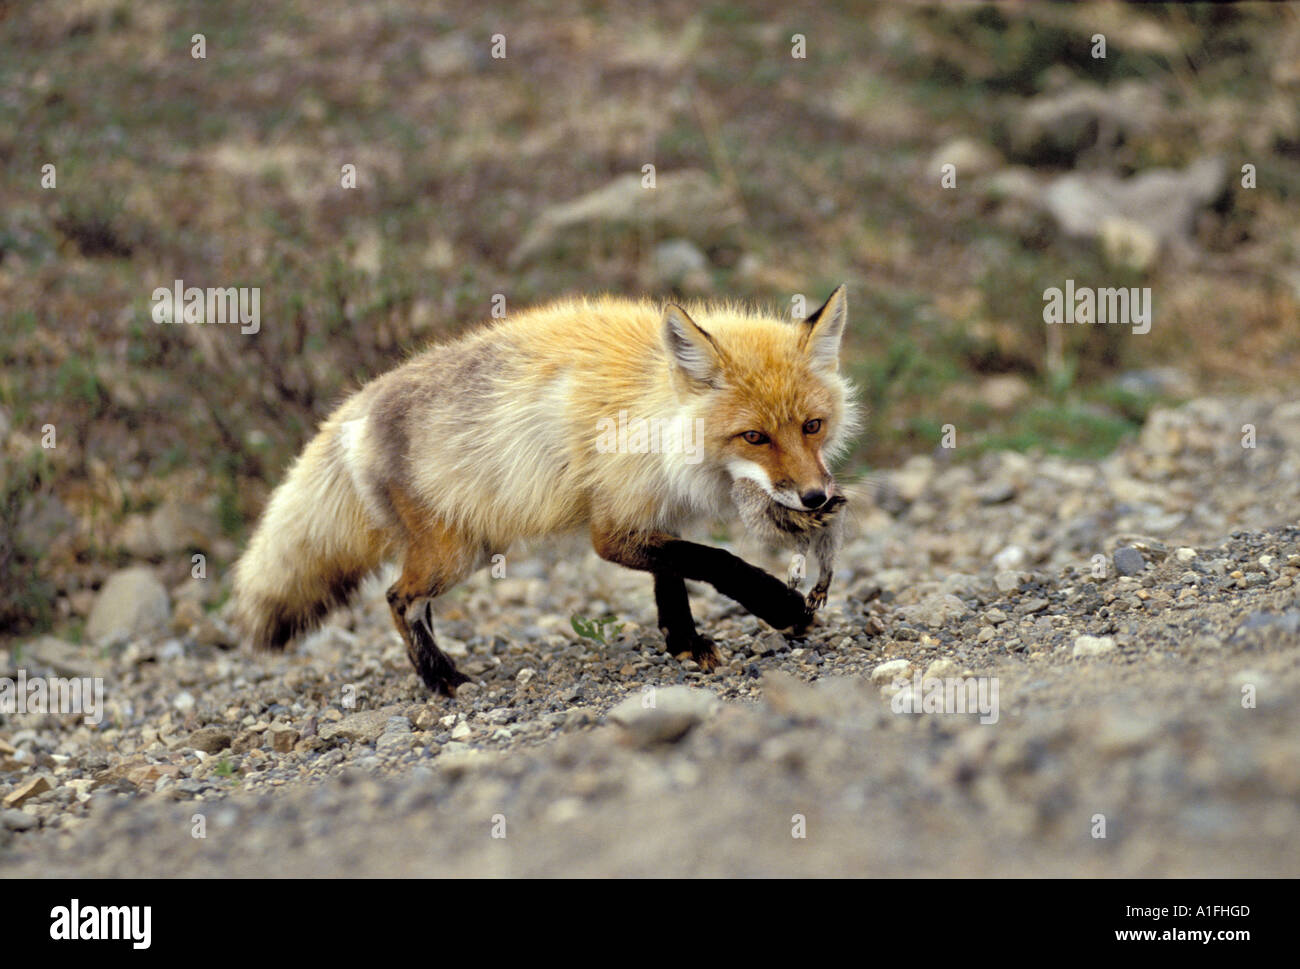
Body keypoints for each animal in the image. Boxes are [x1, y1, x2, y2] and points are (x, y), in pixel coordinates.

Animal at [232, 285, 860, 696]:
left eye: (812, 426)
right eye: (754, 437)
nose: (816, 500)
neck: (654, 415)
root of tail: (357, 405)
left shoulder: (649, 511)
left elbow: (673, 578)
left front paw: (683, 643)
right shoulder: (611, 530)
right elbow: (714, 560)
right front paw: (781, 607)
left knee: (411, 602)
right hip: (457, 553)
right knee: (396, 598)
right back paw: (441, 679)